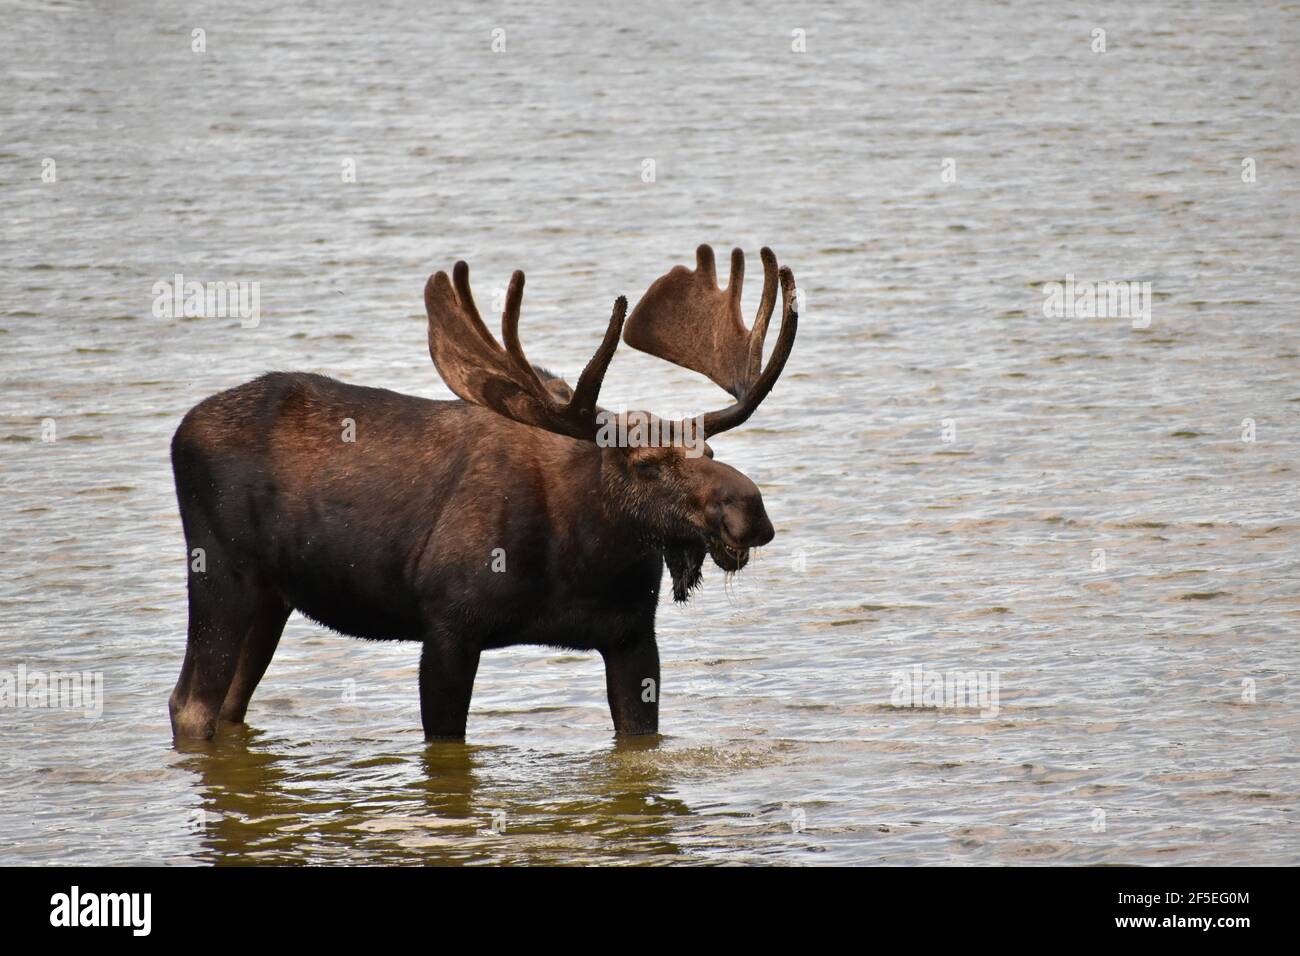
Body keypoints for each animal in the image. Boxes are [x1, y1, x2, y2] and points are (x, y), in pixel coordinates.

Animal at [167, 244, 798, 742]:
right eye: (646, 463)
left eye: (708, 452)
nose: (752, 510)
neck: (586, 556)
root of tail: (181, 431)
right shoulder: (448, 626)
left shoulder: (632, 635)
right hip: (220, 570)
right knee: (190, 704)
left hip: (273, 595)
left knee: (228, 706)